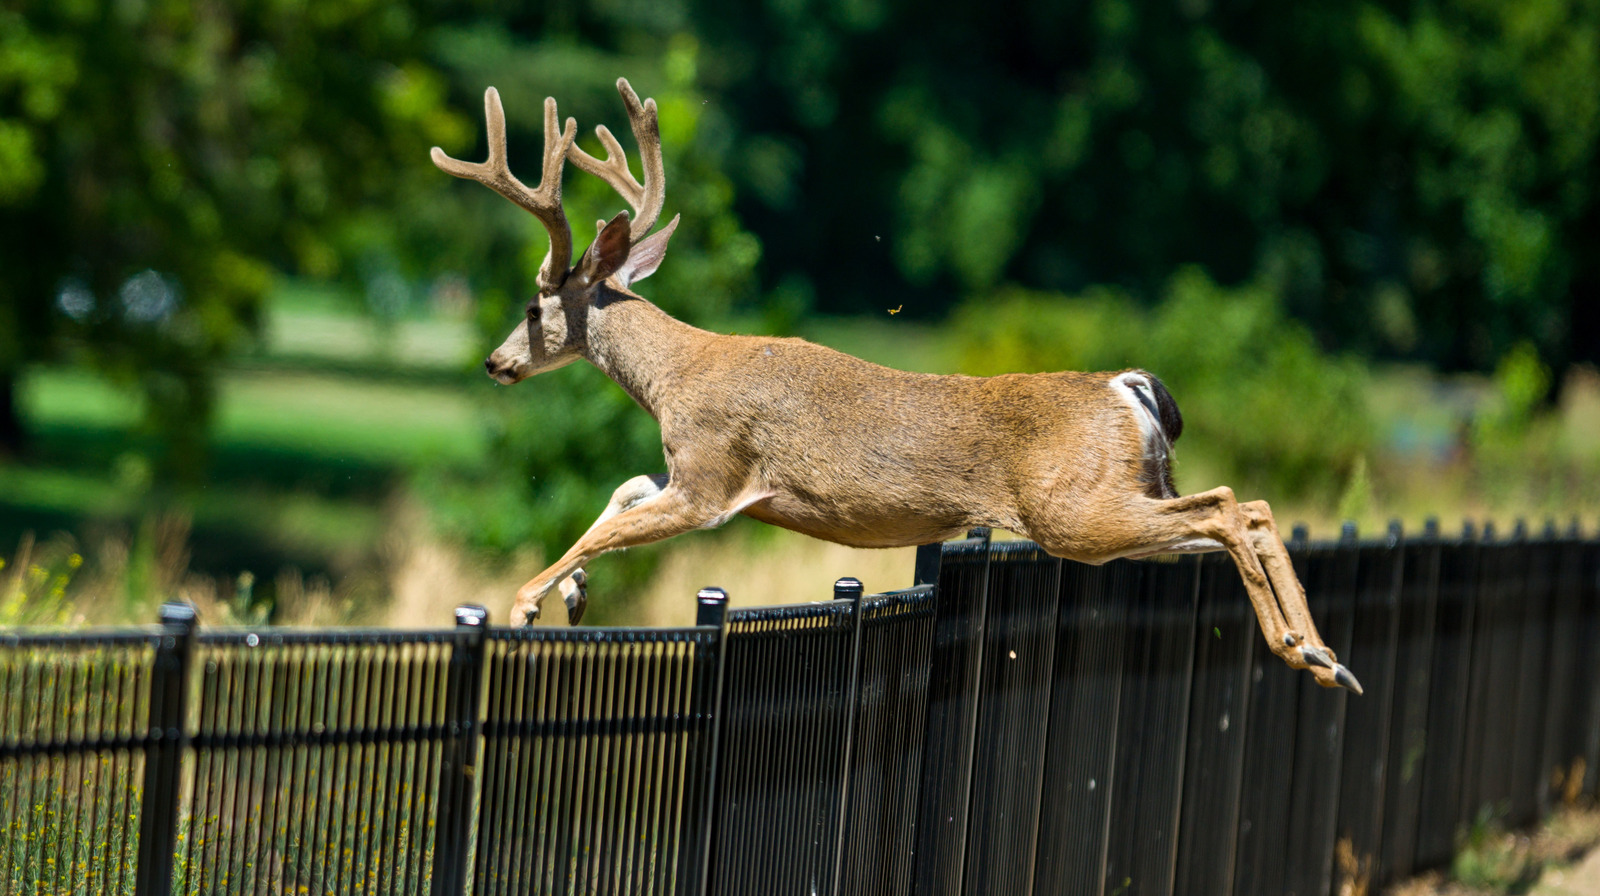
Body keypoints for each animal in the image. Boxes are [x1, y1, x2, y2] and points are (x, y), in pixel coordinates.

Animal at [431, 78, 1361, 694]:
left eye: (532, 303)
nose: (494, 363)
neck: (674, 376)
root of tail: (1127, 386)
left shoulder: (713, 475)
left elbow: (615, 518)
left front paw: (525, 603)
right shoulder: (694, 471)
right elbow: (623, 488)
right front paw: (575, 595)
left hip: (1074, 509)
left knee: (1232, 505)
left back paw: (1308, 655)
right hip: (1128, 498)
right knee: (1246, 510)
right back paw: (1323, 656)